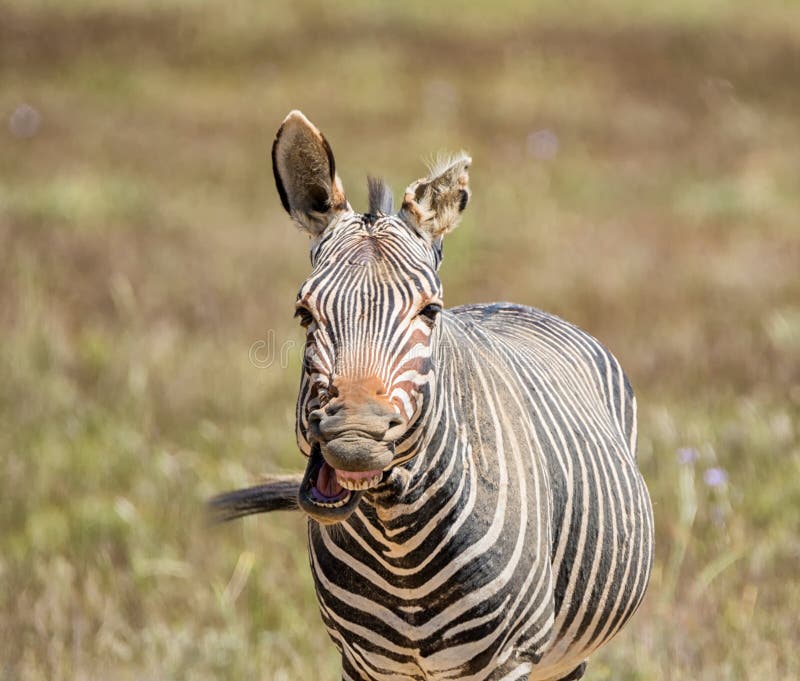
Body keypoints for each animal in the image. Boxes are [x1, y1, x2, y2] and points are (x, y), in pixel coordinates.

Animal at [211, 110, 654, 681]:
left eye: (430, 311)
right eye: (303, 313)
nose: (354, 438)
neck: (398, 541)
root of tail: (510, 304)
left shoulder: (512, 660)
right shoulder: (361, 663)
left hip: (567, 658)